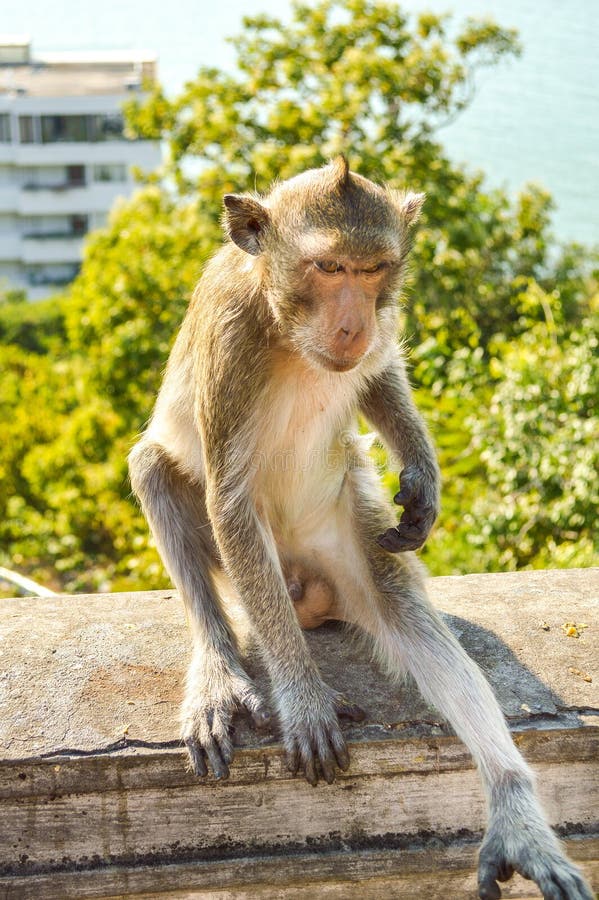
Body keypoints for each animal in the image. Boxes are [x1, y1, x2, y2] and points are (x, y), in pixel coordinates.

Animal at [128, 157, 592, 900]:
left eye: (372, 270)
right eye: (327, 267)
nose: (351, 326)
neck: (284, 329)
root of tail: (307, 596)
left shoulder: (380, 324)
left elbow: (380, 377)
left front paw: (422, 474)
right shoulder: (230, 340)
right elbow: (230, 502)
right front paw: (302, 697)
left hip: (343, 533)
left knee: (399, 604)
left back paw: (513, 805)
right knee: (154, 470)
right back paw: (219, 666)